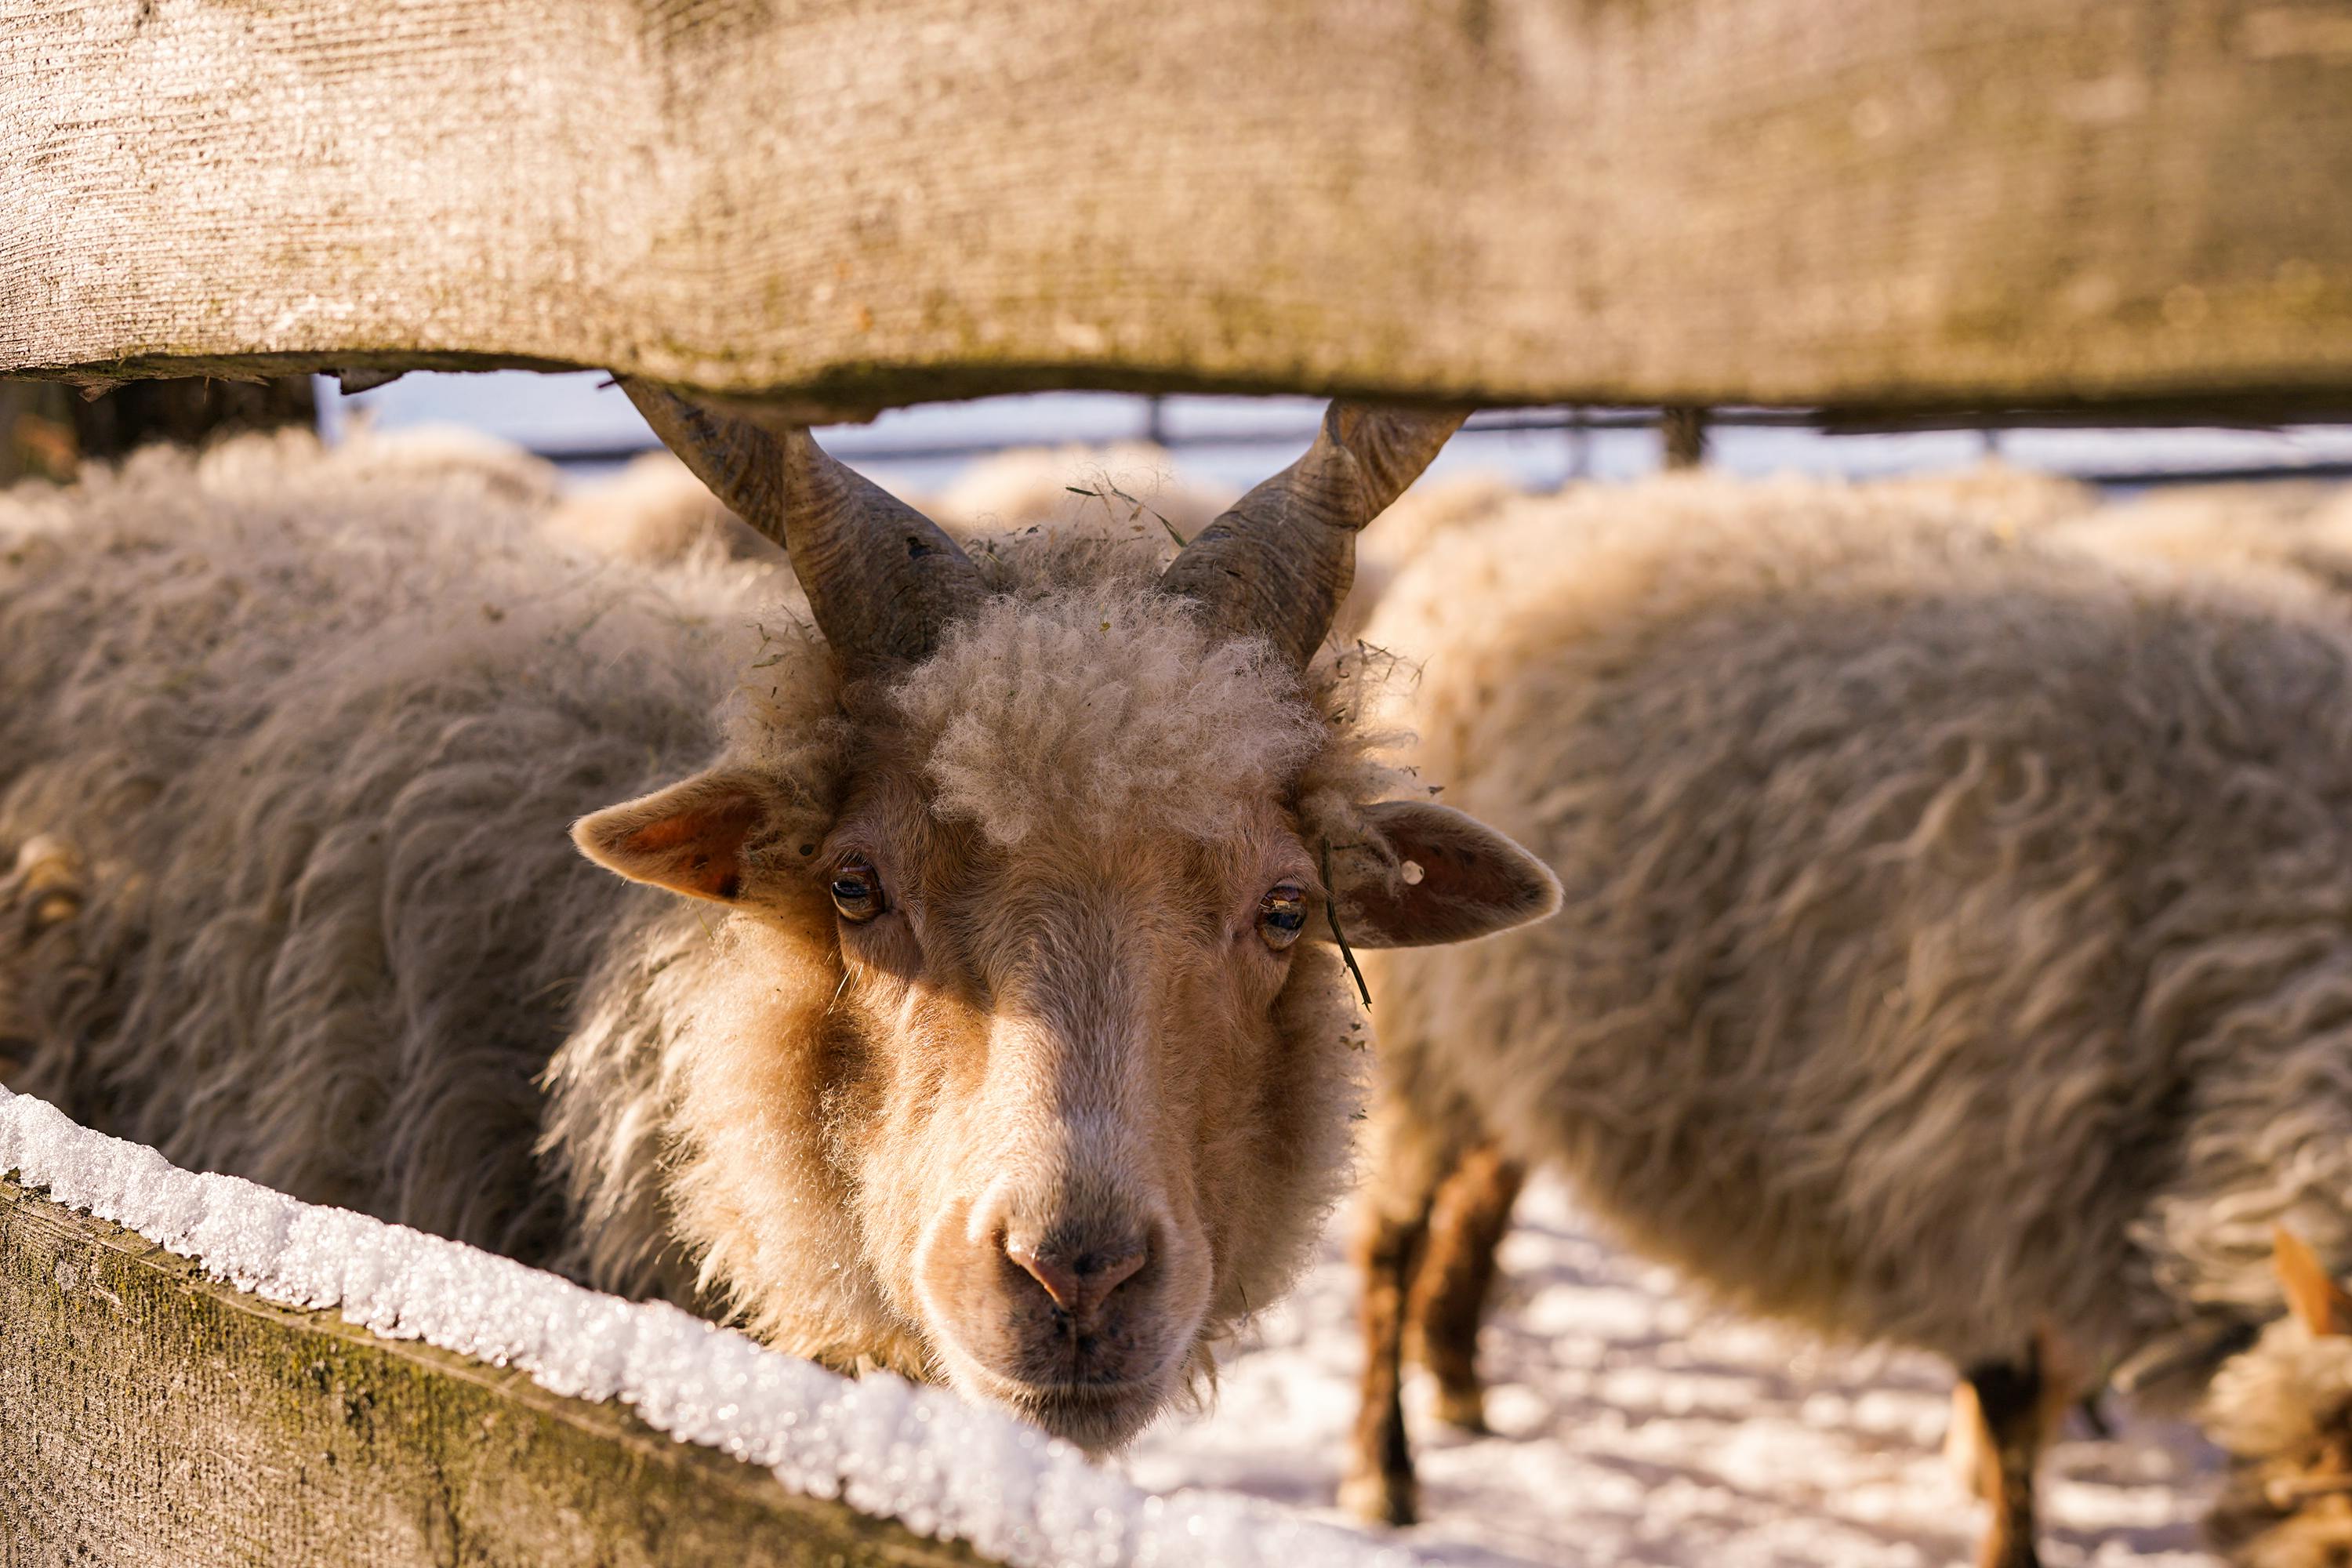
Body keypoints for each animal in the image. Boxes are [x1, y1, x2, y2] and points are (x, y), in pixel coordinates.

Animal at [1342, 471, 2352, 1568]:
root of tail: (1491, 540)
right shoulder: (1988, 1171)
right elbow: (2012, 1410)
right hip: (1421, 1037)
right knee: (1389, 1243)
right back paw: (1383, 1471)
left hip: (1509, 1036)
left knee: (1485, 1189)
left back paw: (1459, 1382)